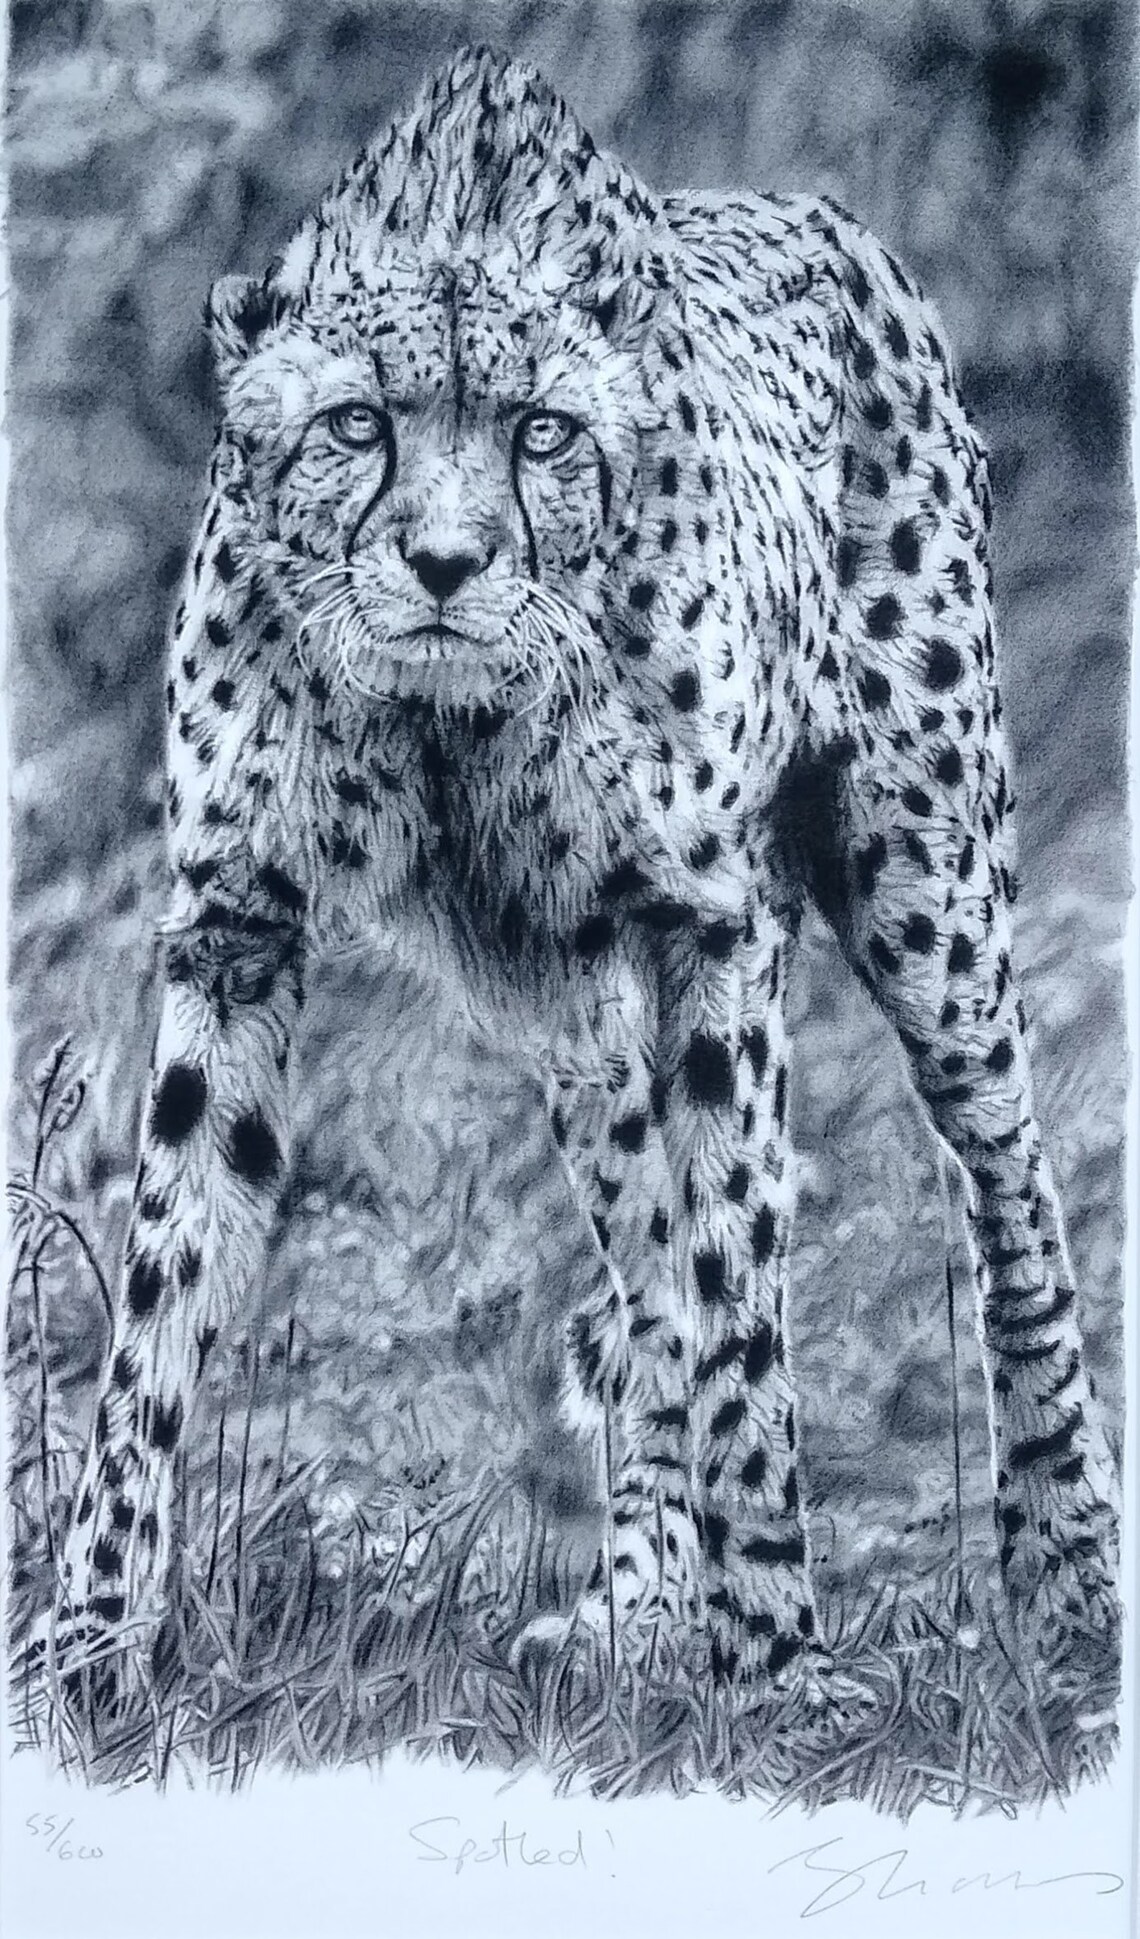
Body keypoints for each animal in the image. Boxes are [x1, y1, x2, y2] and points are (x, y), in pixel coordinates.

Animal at [36, 45, 1120, 1708]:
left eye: (543, 432)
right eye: (357, 424)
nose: (444, 563)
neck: (441, 714)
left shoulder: (706, 924)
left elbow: (742, 1289)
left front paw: (782, 1661)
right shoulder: (239, 924)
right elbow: (162, 1279)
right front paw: (83, 1636)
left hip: (929, 894)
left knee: (1010, 1193)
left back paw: (1063, 1577)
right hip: (577, 1020)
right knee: (638, 1273)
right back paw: (649, 1605)